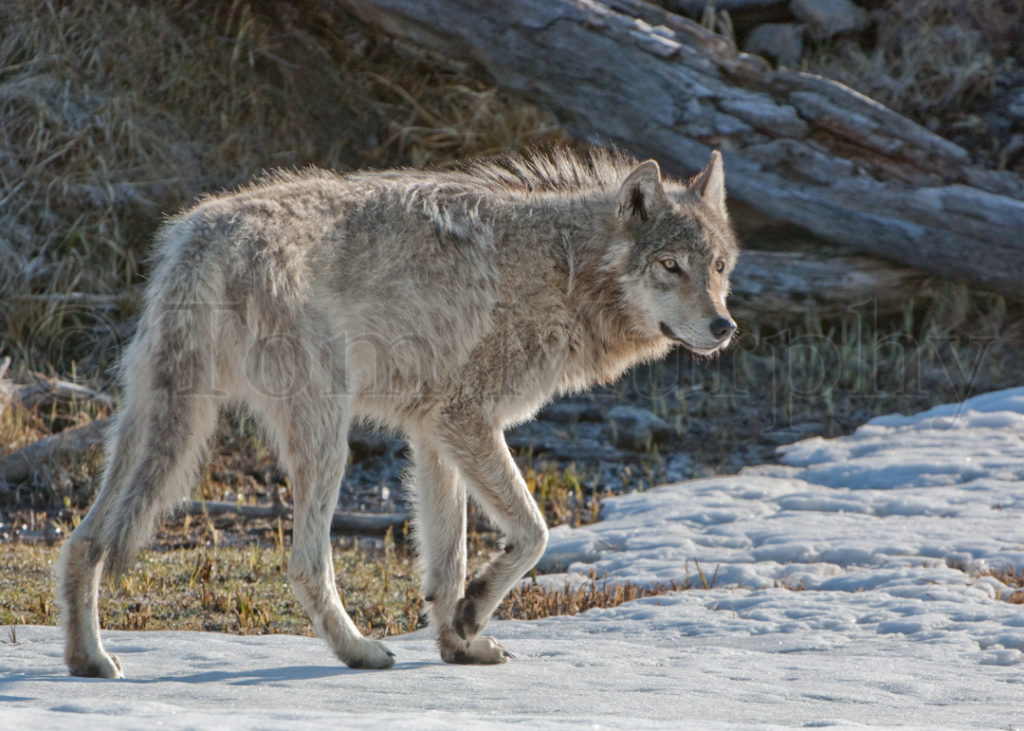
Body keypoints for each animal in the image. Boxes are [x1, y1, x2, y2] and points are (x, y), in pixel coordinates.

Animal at [56, 147, 739, 677]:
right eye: (670, 266)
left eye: (717, 267)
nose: (724, 327)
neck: (565, 268)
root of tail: (202, 236)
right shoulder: (464, 420)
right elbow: (534, 533)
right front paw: (472, 612)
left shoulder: (433, 434)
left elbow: (447, 560)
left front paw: (458, 643)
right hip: (325, 439)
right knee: (306, 565)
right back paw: (360, 652)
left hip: (151, 427)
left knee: (84, 540)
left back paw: (88, 660)